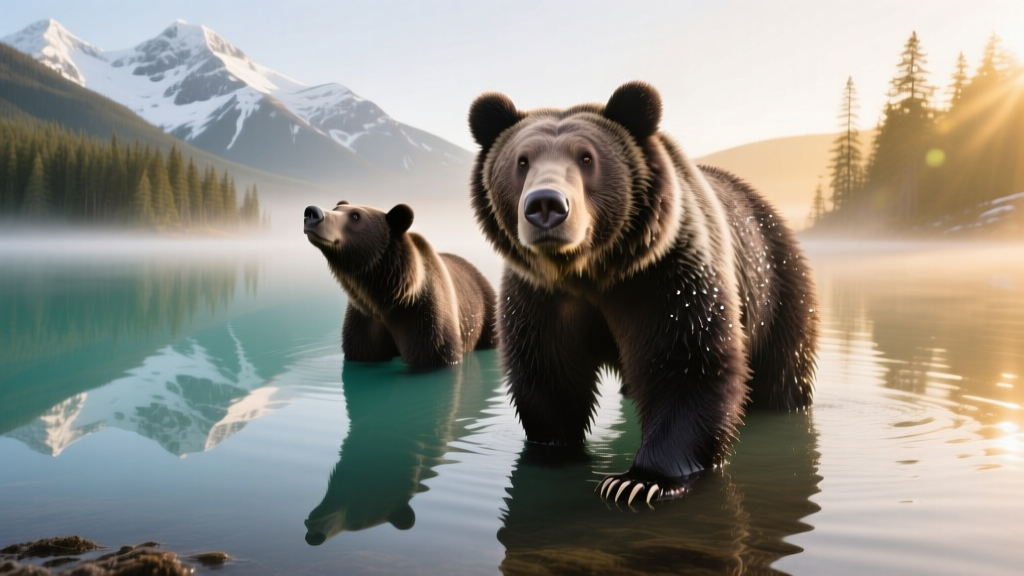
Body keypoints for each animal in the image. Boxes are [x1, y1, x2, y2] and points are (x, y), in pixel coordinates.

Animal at [303, 200, 497, 366]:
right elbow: (362, 351)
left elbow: (433, 354)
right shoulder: (364, 319)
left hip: (485, 312)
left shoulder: (424, 314)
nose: (312, 212)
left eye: (356, 216)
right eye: (335, 208)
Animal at [468, 81, 819, 505]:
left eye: (586, 157)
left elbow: (688, 364)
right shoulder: (539, 296)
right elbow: (546, 370)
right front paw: (553, 452)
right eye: (522, 161)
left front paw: (638, 481)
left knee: (782, 375)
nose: (546, 205)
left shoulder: (667, 279)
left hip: (777, 286)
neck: (588, 271)